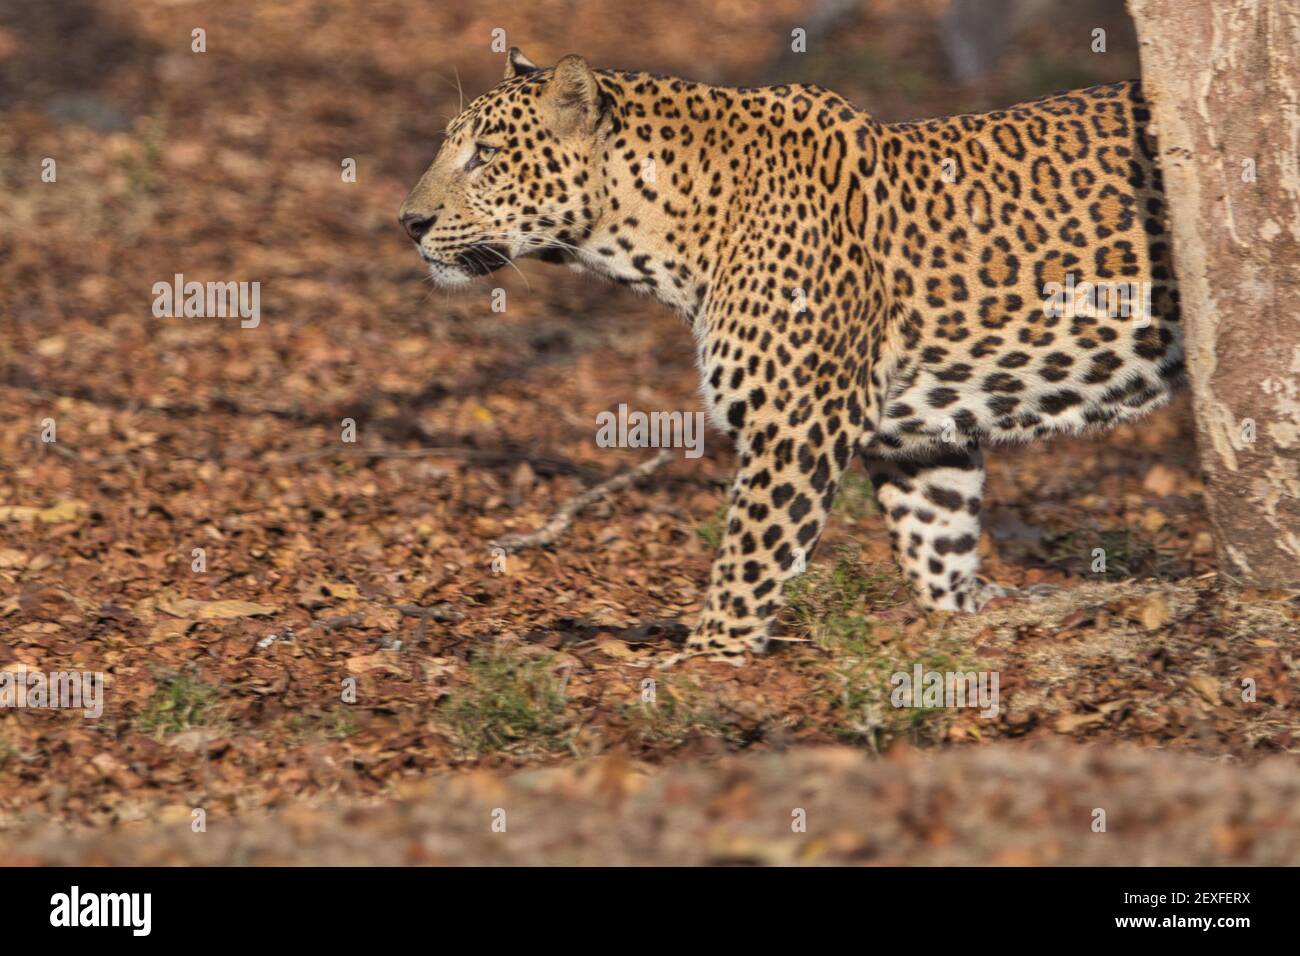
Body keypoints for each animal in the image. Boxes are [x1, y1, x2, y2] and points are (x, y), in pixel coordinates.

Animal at [399, 48, 1183, 661]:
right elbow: (936, 538)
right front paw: (961, 625)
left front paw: (703, 665)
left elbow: (751, 557)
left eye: (486, 155)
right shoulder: (919, 435)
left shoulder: (797, 421)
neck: (662, 232)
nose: (408, 222)